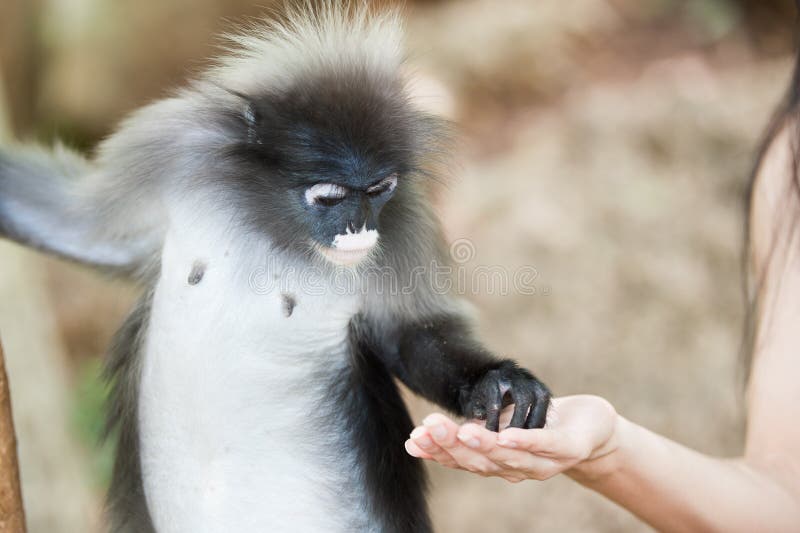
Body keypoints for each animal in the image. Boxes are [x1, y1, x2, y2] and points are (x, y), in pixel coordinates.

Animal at [0, 4, 551, 532]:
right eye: (328, 196)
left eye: (379, 189)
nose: (360, 229)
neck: (269, 220)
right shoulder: (175, 151)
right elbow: (77, 226)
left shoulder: (404, 216)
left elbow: (409, 331)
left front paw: (495, 382)